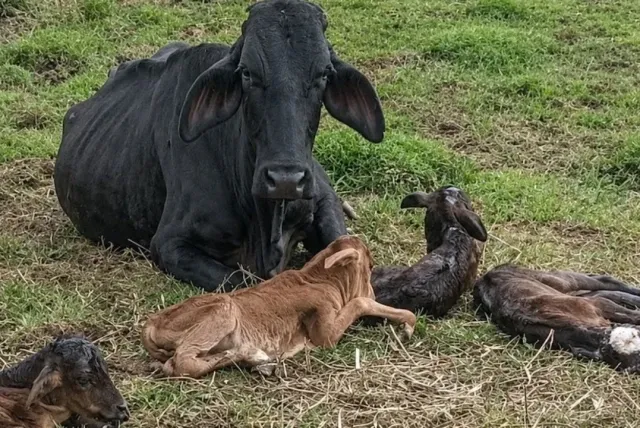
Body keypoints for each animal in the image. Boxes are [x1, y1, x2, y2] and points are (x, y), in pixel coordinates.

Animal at [54, 0, 385, 292]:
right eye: (247, 72)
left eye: (324, 73)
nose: (286, 179)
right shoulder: (169, 244)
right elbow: (244, 283)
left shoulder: (324, 201)